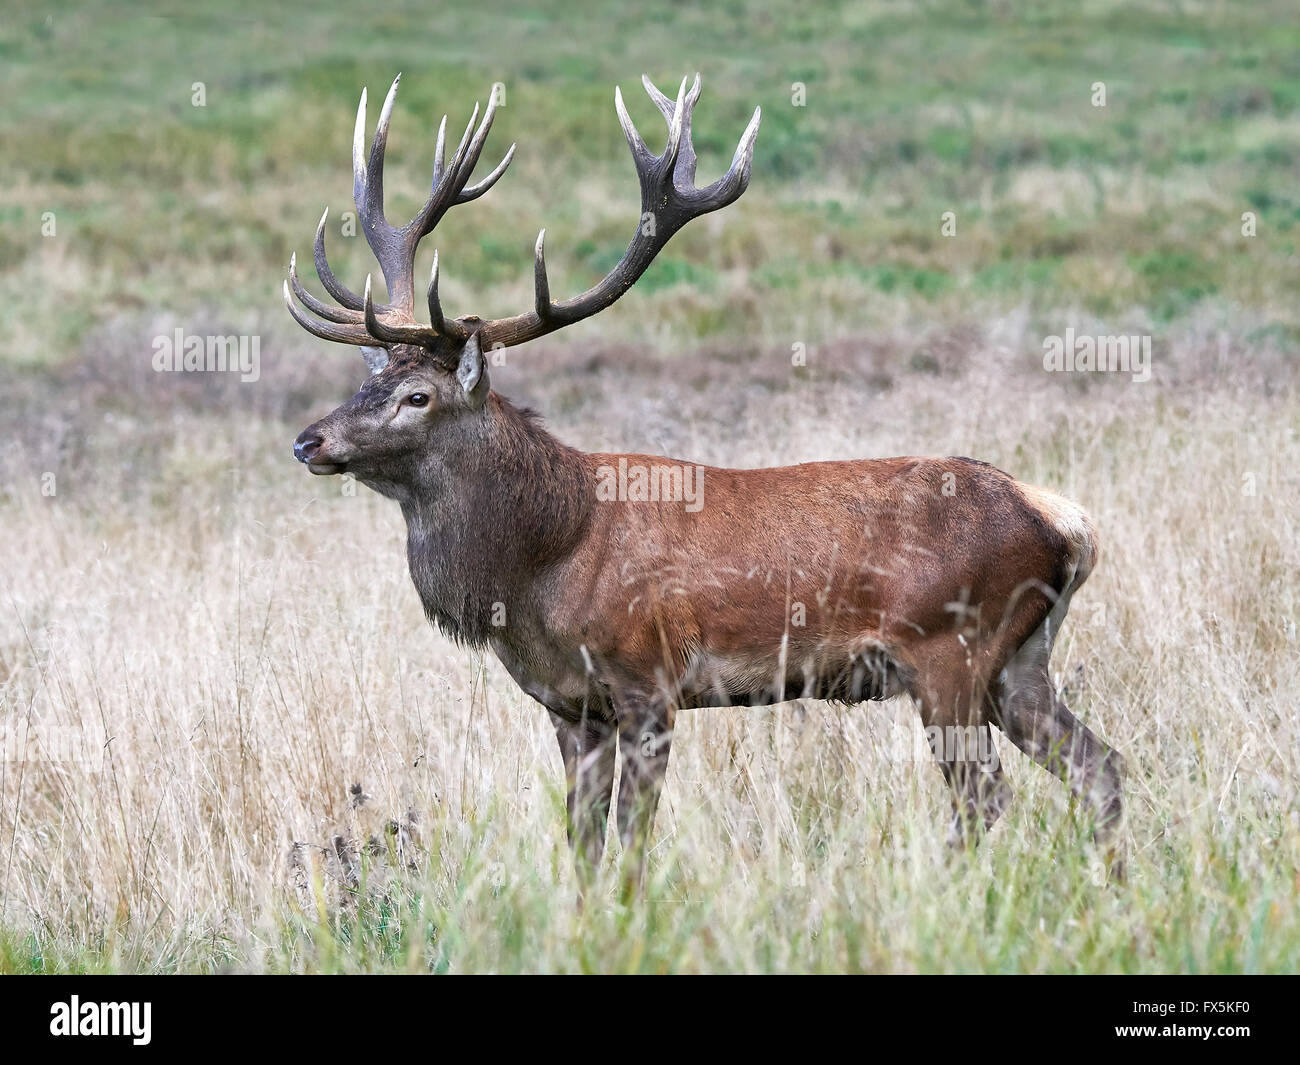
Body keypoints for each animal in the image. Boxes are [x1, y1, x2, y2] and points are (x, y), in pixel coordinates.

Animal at [283, 73, 1126, 895]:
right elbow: (582, 844)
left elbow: (630, 840)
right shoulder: (568, 705)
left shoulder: (649, 681)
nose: (308, 440)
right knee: (1100, 766)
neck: (542, 563)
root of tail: (1068, 521)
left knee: (987, 794)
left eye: (417, 396)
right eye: (367, 381)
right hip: (1020, 659)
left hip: (950, 649)